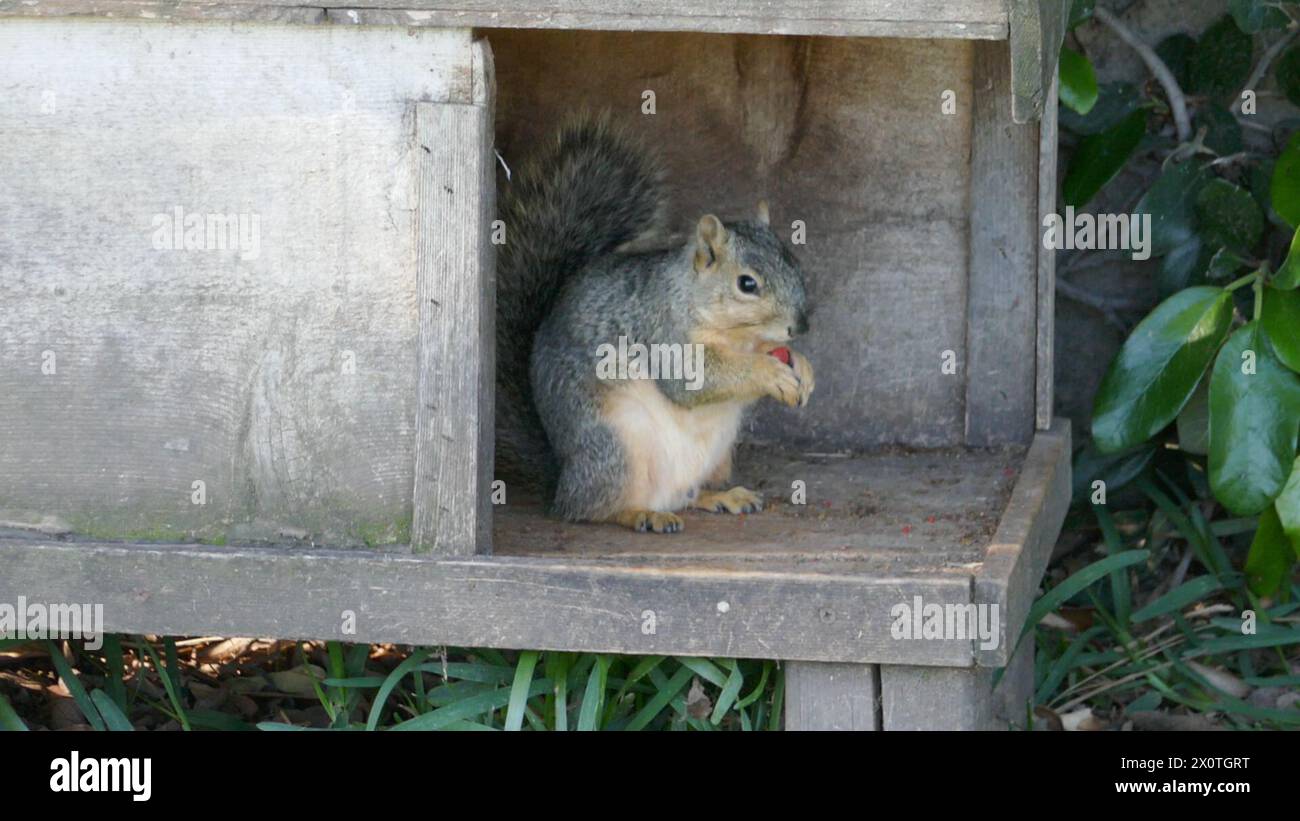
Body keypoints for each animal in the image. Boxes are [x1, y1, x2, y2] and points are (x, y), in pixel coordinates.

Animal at [495, 114, 813, 534]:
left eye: (792, 260)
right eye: (747, 284)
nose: (801, 325)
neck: (735, 337)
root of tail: (561, 478)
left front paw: (803, 368)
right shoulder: (660, 332)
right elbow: (691, 380)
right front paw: (769, 373)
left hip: (718, 457)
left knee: (687, 496)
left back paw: (722, 497)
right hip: (614, 448)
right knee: (589, 509)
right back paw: (641, 513)